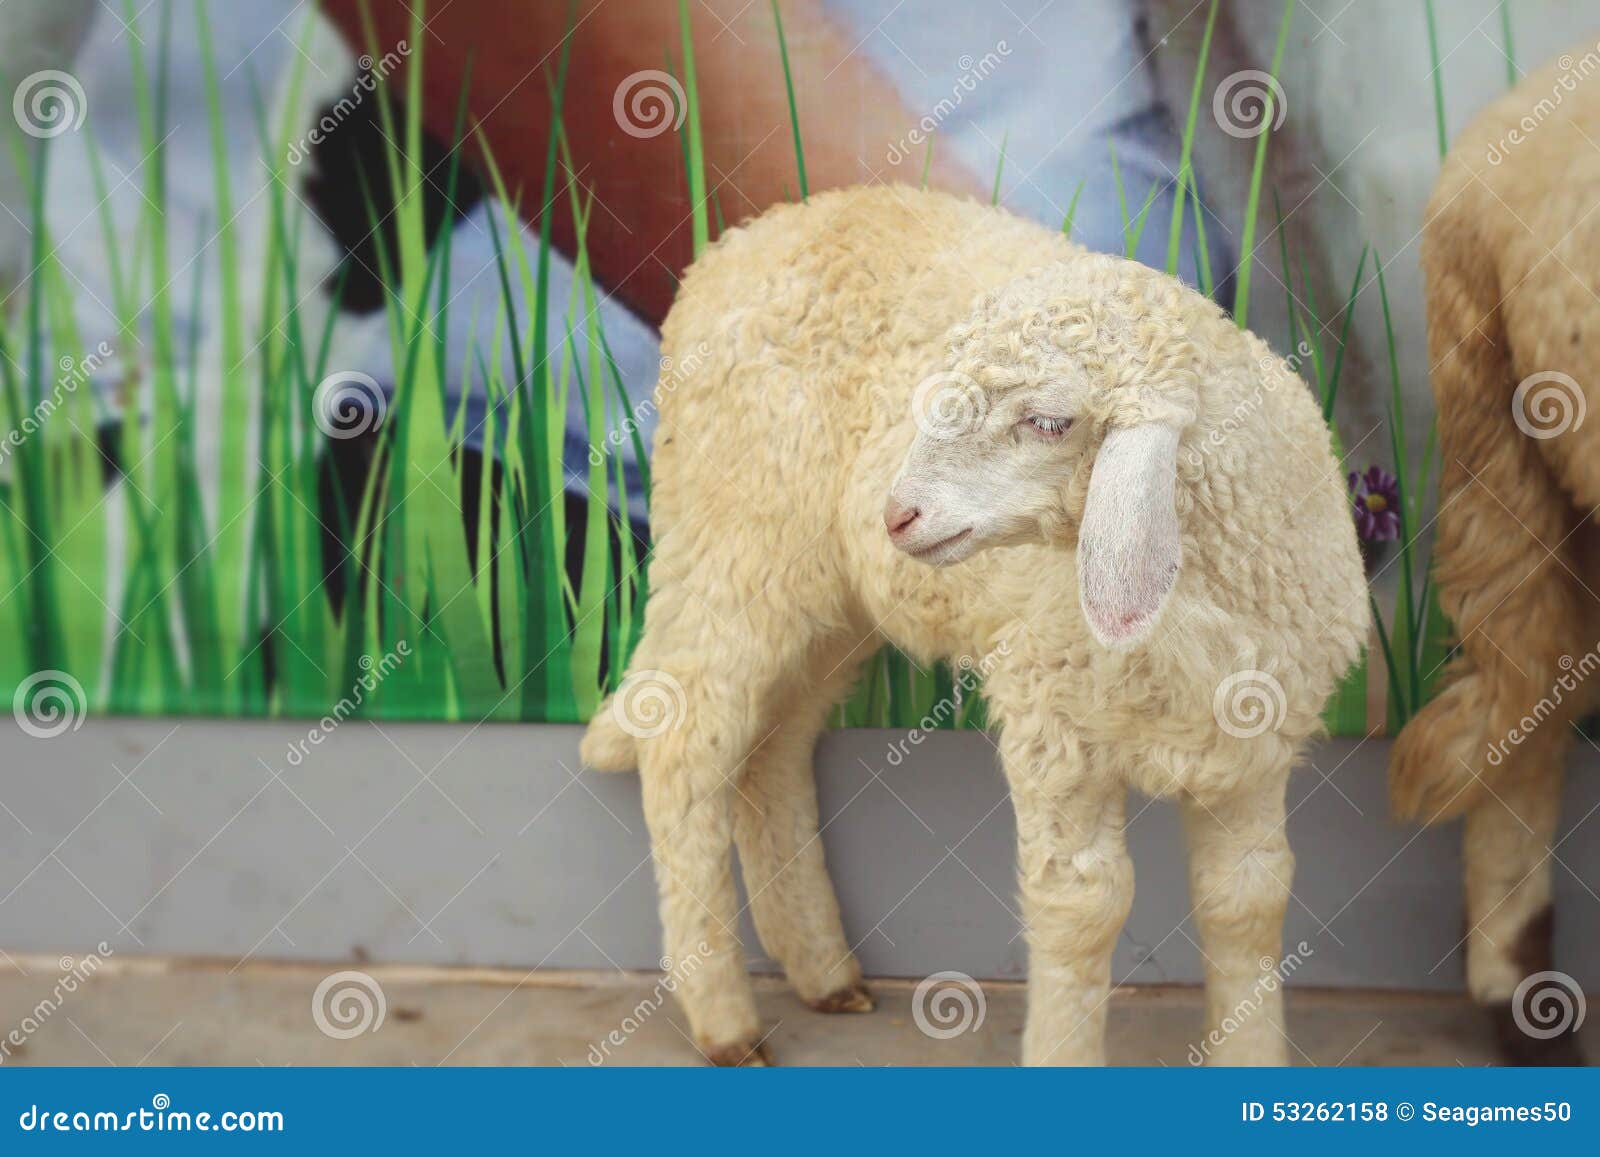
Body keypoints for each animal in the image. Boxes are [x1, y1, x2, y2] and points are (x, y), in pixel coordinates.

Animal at [581, 184, 1368, 1066]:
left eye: (1050, 421)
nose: (897, 514)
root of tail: (742, 243)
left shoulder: (1252, 751)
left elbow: (1249, 901)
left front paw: (1251, 1058)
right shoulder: (1052, 723)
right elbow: (1082, 908)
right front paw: (1062, 1053)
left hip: (828, 600)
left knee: (771, 751)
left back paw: (822, 971)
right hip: (737, 534)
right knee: (685, 740)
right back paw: (723, 1018)